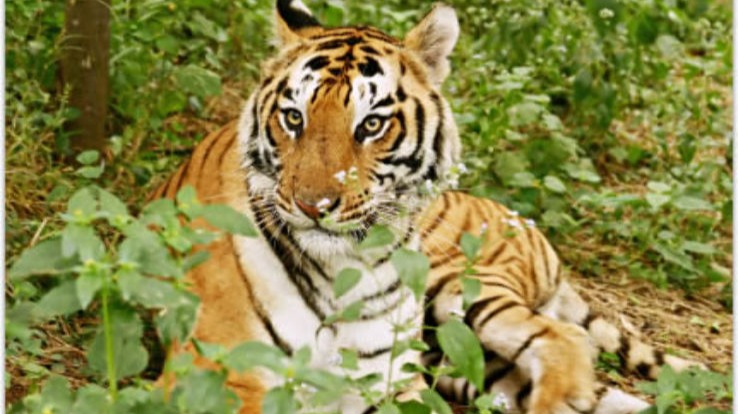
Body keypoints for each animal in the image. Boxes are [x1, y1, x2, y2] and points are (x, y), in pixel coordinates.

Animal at [151, 1, 704, 413]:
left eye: (371, 125)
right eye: (293, 118)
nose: (313, 205)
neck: (341, 271)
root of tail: (528, 225)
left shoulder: (390, 382)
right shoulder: (217, 374)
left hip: (463, 286)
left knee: (565, 336)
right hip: (472, 362)